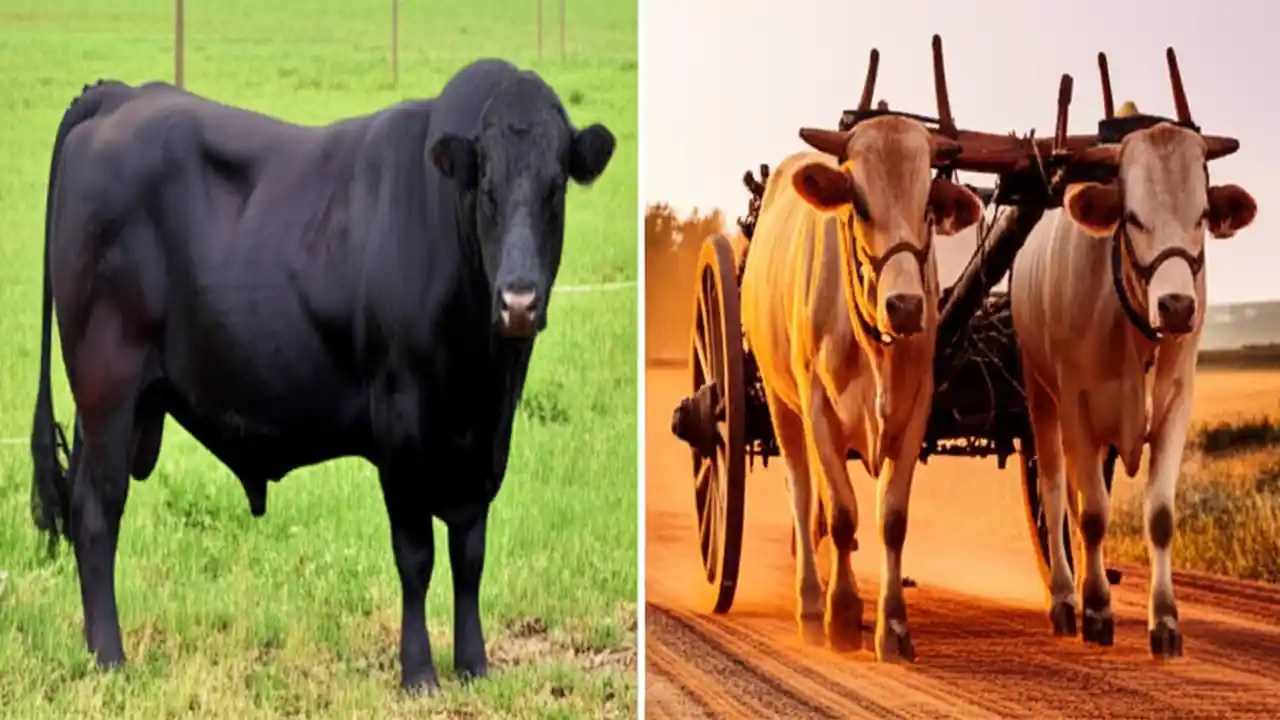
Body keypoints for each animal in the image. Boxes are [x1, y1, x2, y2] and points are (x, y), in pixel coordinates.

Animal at [28, 58, 615, 691]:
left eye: (555, 189)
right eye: (487, 190)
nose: (519, 302)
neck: (480, 372)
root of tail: (121, 95)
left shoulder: (484, 443)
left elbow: (469, 554)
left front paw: (474, 665)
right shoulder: (400, 428)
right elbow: (416, 557)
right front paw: (418, 671)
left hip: (110, 404)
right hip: (107, 385)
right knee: (96, 512)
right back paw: (111, 657)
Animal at [739, 115, 983, 661]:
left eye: (926, 207)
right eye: (860, 204)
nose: (906, 306)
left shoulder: (915, 411)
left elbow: (891, 519)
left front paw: (892, 627)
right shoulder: (818, 409)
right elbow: (842, 513)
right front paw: (842, 615)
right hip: (781, 402)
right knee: (802, 493)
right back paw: (811, 602)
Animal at [1009, 102, 1255, 656]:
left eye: (1201, 216)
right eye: (1133, 218)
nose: (1178, 306)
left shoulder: (1173, 409)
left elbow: (1158, 517)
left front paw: (1164, 621)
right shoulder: (1075, 405)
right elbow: (1092, 516)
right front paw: (1096, 610)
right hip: (1041, 397)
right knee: (1055, 495)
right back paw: (1065, 598)